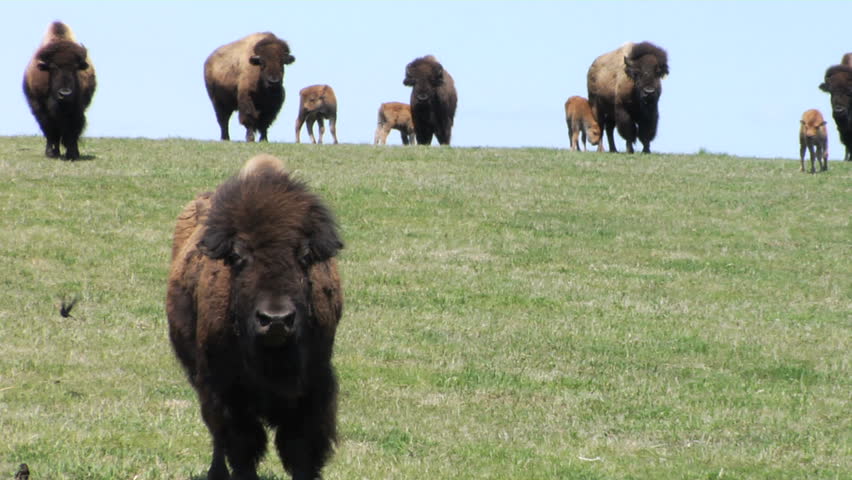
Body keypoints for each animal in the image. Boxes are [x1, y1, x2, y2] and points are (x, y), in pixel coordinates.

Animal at [23, 21, 96, 160]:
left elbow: (72, 131)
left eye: (75, 68)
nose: (65, 93)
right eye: (53, 67)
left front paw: (72, 154)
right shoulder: (42, 109)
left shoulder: (77, 110)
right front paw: (51, 153)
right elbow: (50, 131)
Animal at [166, 154, 344, 480]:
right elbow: (241, 448)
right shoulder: (226, 392)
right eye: (237, 256)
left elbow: (301, 451)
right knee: (218, 437)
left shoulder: (312, 390)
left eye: (304, 256)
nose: (276, 319)